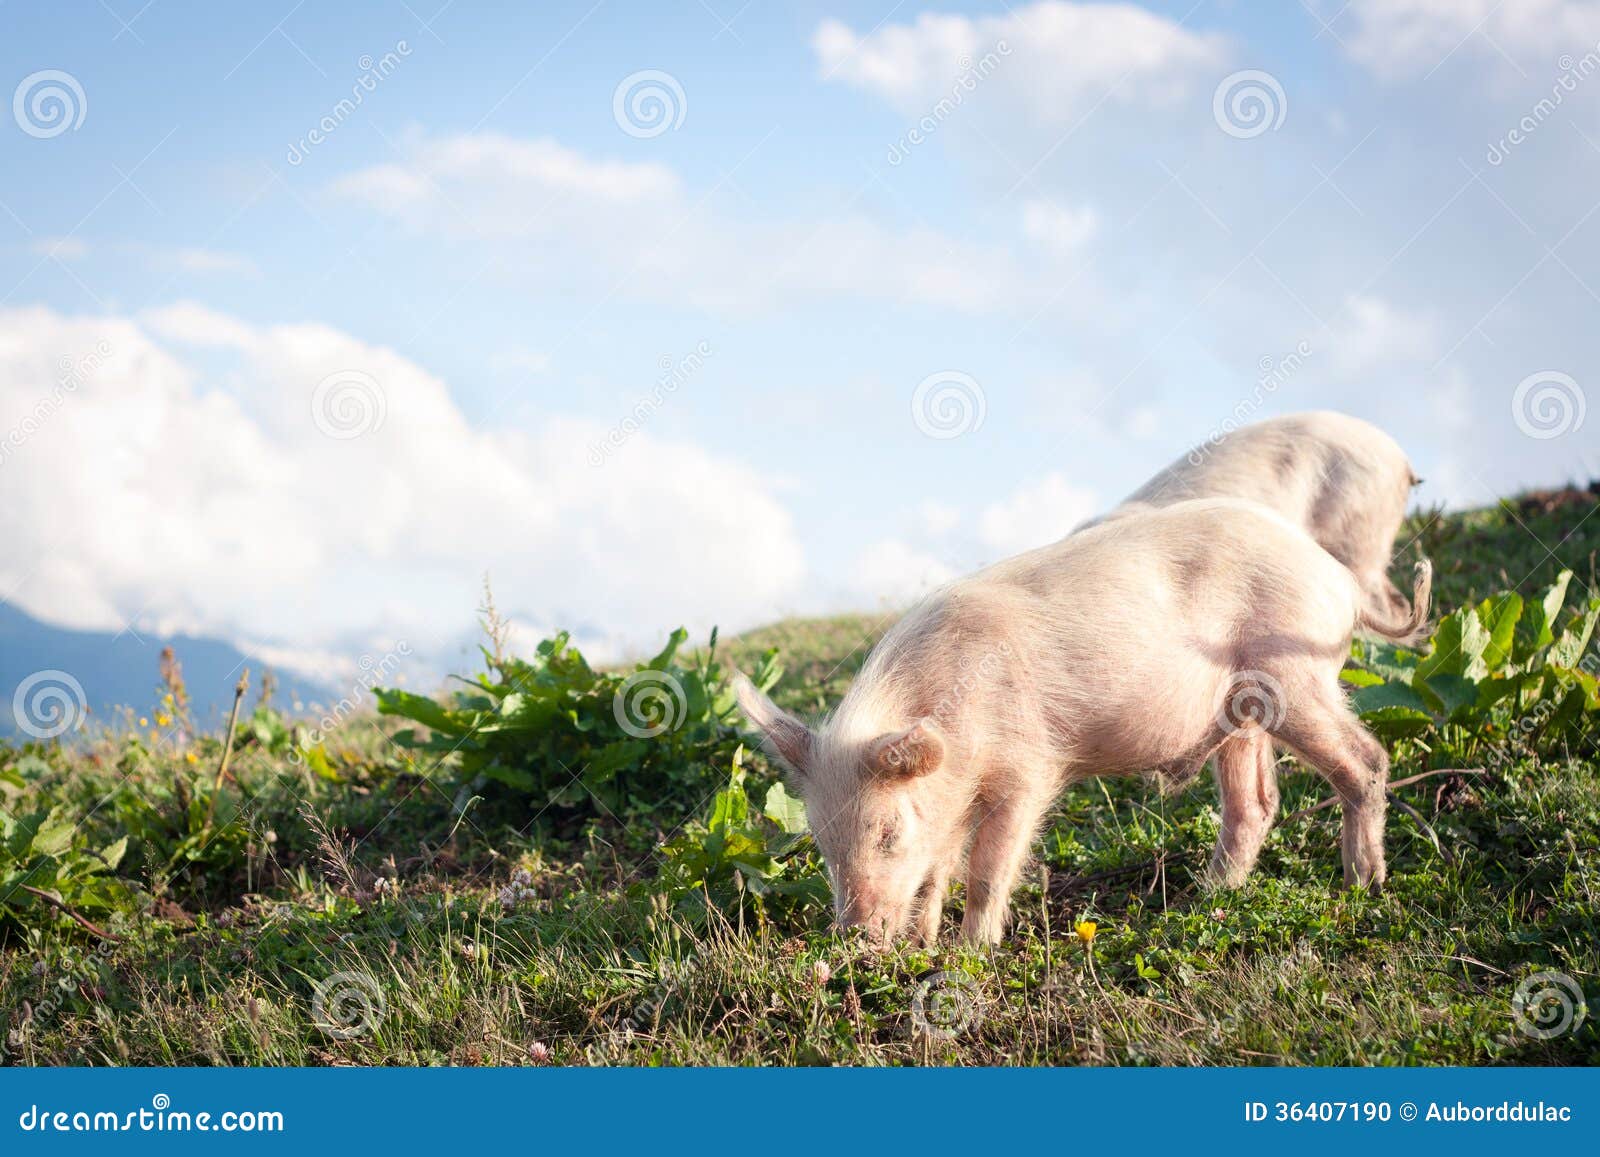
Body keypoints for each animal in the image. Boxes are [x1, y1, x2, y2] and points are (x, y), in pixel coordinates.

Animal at [735, 498, 1431, 946]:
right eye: (821, 841)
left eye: (887, 832)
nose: (855, 940)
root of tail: (1338, 578)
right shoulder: (952, 801)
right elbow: (938, 871)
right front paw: (923, 948)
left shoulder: (1028, 769)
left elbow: (987, 869)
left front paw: (970, 955)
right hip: (1241, 714)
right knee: (1255, 804)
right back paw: (1201, 901)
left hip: (1296, 678)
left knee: (1366, 761)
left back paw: (1361, 886)